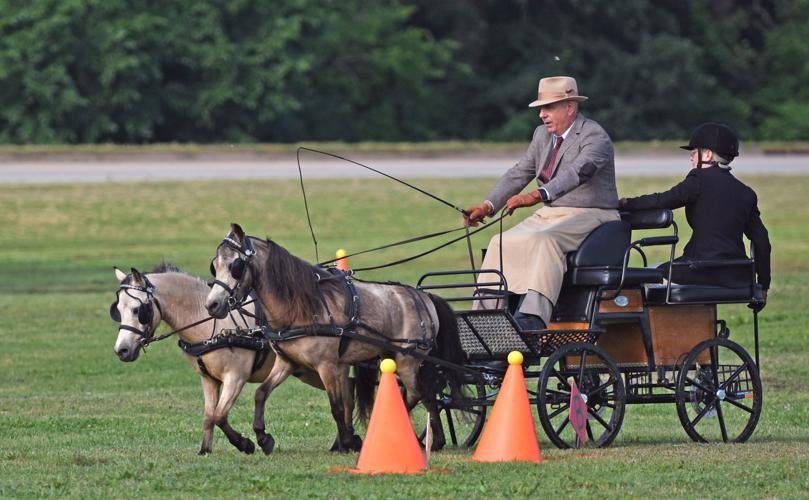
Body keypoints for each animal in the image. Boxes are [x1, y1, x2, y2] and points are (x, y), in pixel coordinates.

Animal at [110, 263, 329, 455]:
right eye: (117, 310)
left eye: (137, 310)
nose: (122, 350)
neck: (211, 325)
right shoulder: (208, 379)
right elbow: (209, 416)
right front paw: (205, 450)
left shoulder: (236, 377)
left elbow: (219, 415)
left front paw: (245, 443)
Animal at [205, 223, 464, 453]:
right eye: (214, 265)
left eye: (236, 265)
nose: (212, 305)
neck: (301, 308)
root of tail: (424, 296)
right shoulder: (287, 362)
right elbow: (260, 394)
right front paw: (261, 437)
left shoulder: (327, 365)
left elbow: (337, 407)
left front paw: (348, 442)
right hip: (392, 355)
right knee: (423, 395)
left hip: (407, 359)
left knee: (417, 394)